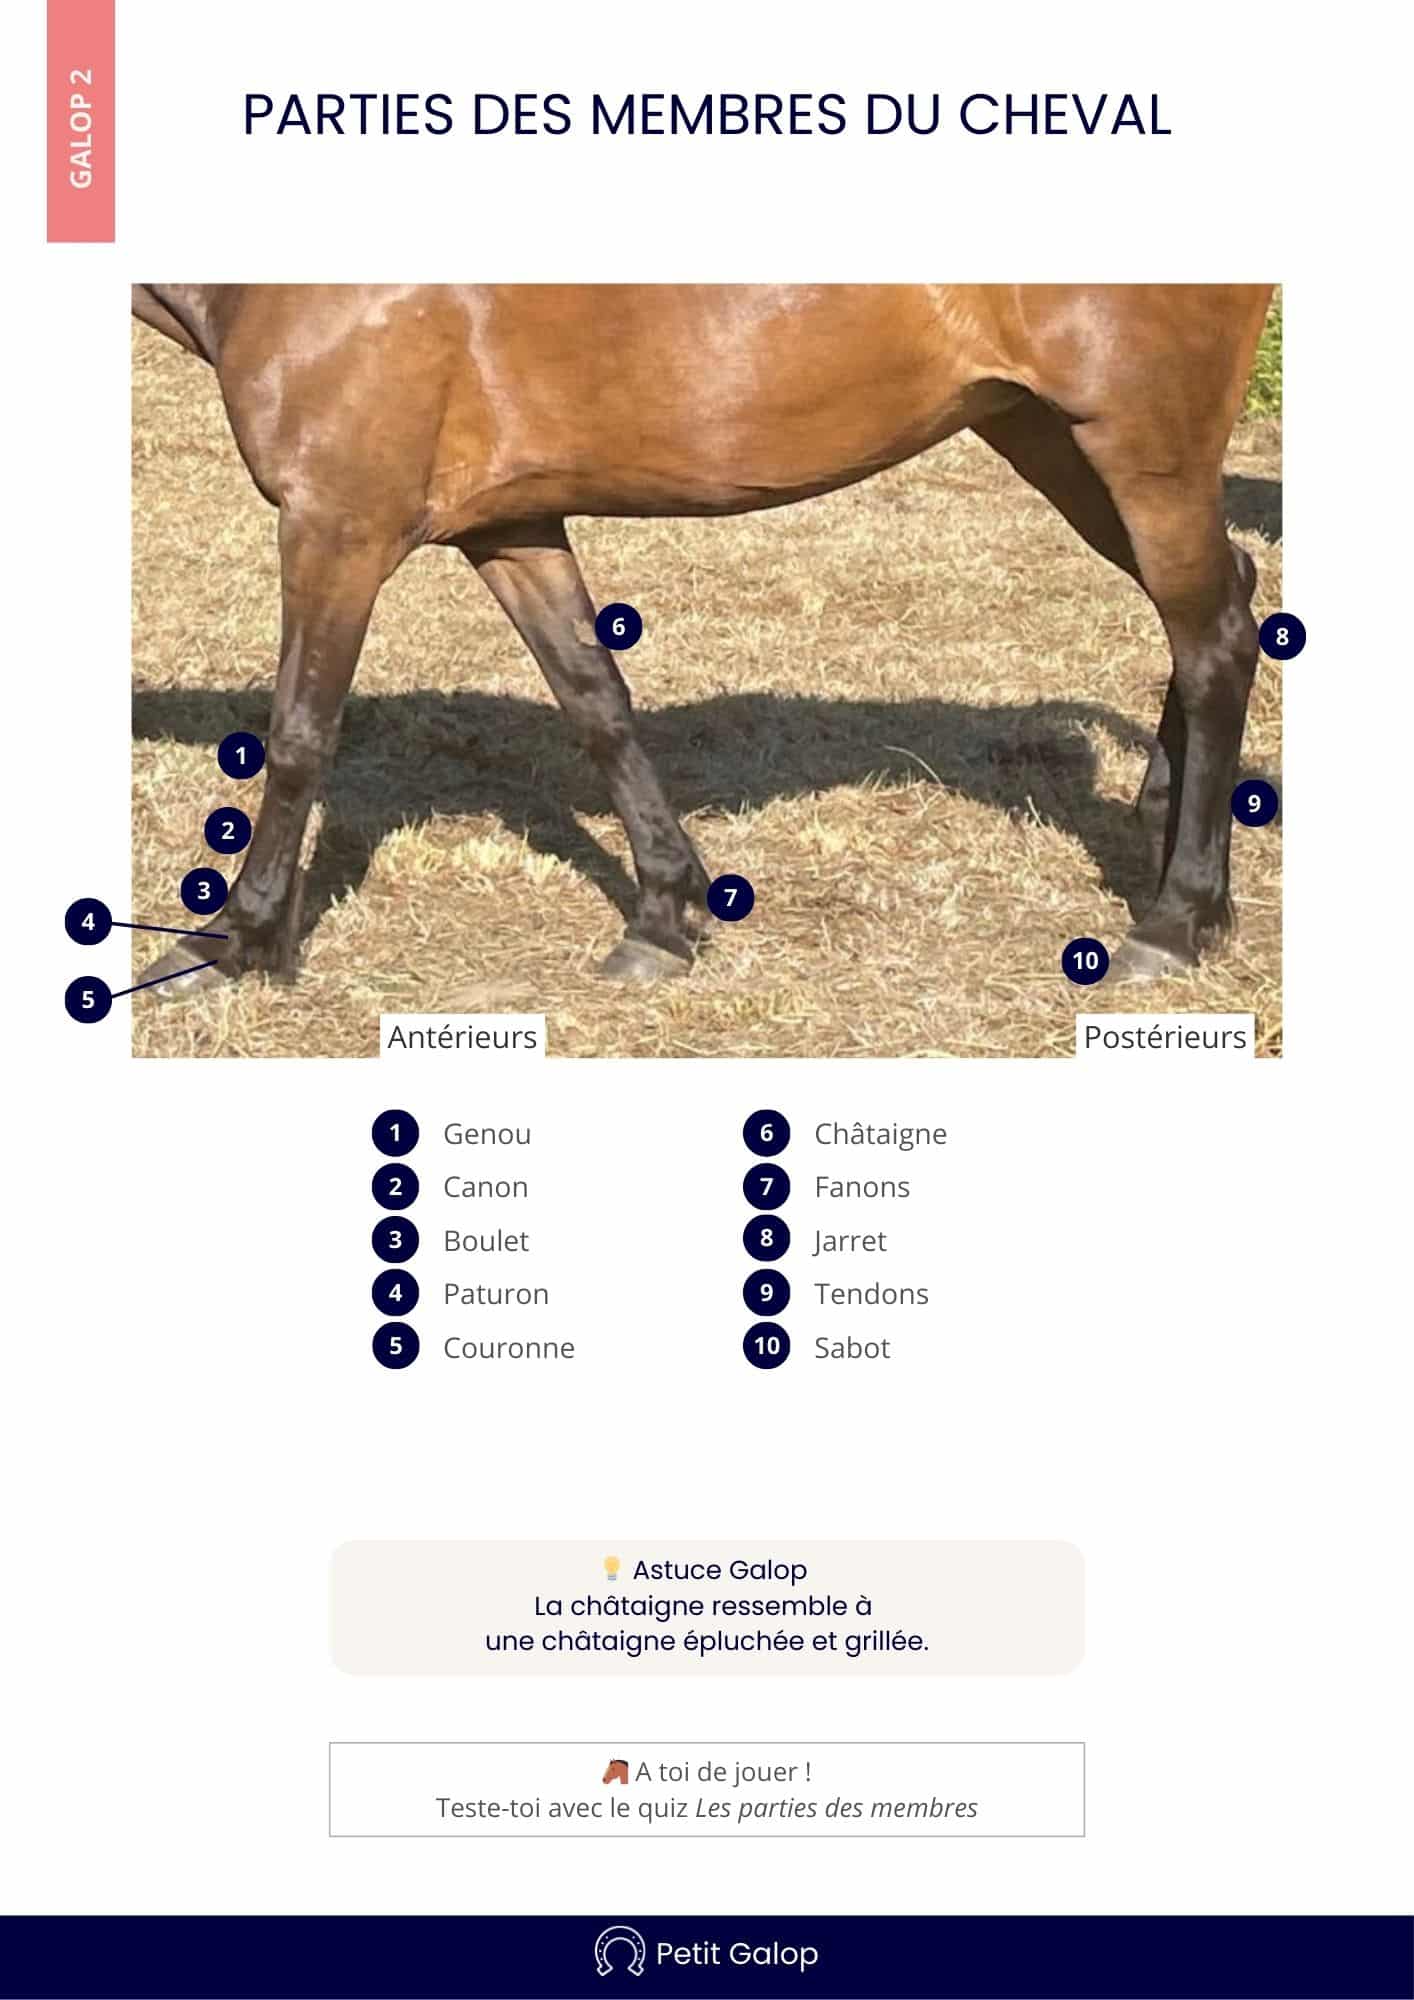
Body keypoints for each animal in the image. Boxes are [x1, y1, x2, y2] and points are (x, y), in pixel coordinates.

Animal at [131, 283, 1273, 992]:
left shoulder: (337, 526)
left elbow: (298, 735)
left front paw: (235, 941)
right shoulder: (509, 527)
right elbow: (595, 702)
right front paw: (664, 915)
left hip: (1141, 453)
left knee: (1215, 637)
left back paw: (1175, 921)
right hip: (1047, 436)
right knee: (1224, 602)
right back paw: (1167, 833)